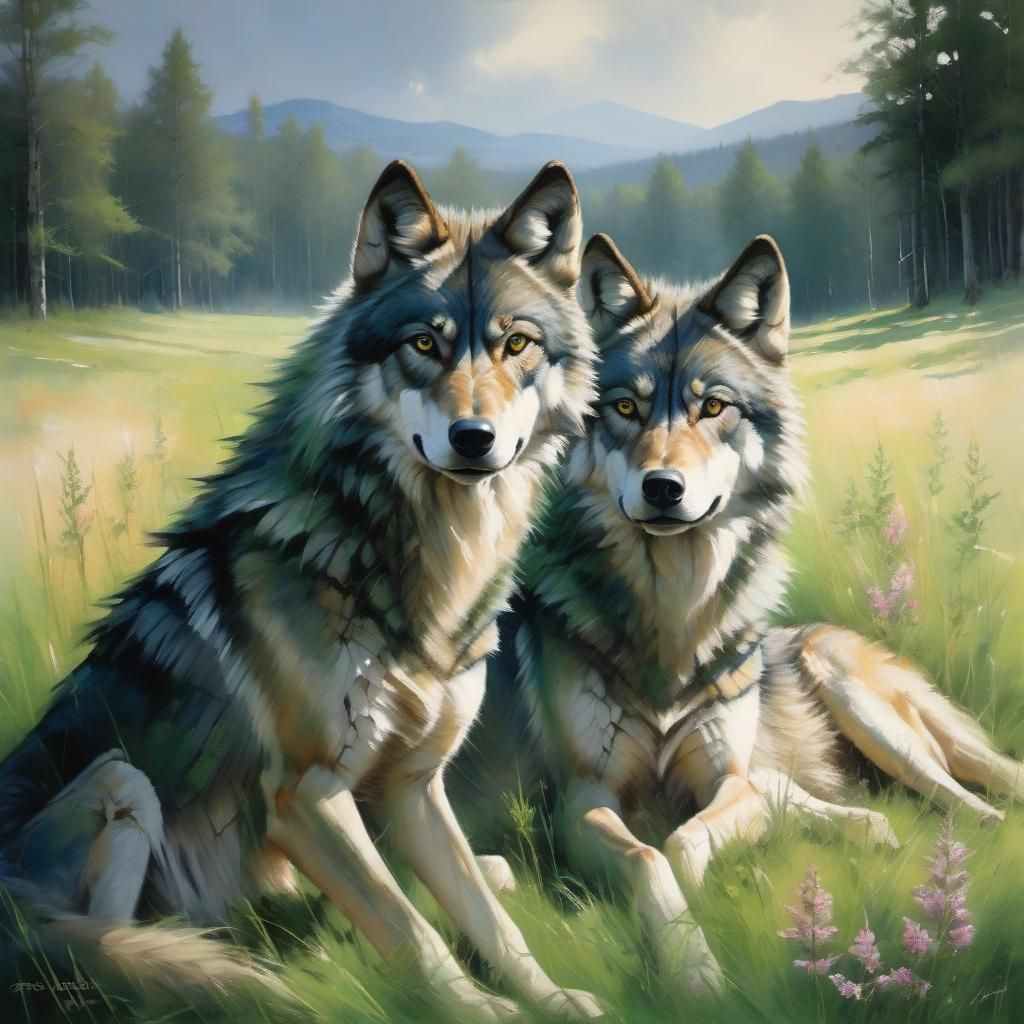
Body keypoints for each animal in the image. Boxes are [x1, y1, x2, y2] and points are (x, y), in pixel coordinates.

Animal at [0, 161, 602, 1020]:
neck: (425, 563)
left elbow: (483, 918)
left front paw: (547, 998)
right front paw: (477, 1008)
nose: (474, 440)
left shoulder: (415, 789)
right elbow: (412, 928)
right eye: (424, 344)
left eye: (515, 344)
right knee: (102, 953)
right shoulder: (308, 796)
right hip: (125, 783)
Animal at [466, 232, 1024, 996]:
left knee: (975, 806)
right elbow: (651, 856)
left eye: (714, 408)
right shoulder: (582, 798)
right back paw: (870, 836)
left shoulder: (728, 782)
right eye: (625, 409)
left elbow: (681, 840)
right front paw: (693, 964)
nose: (662, 487)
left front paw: (712, 916)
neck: (674, 616)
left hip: (867, 709)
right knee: (847, 808)